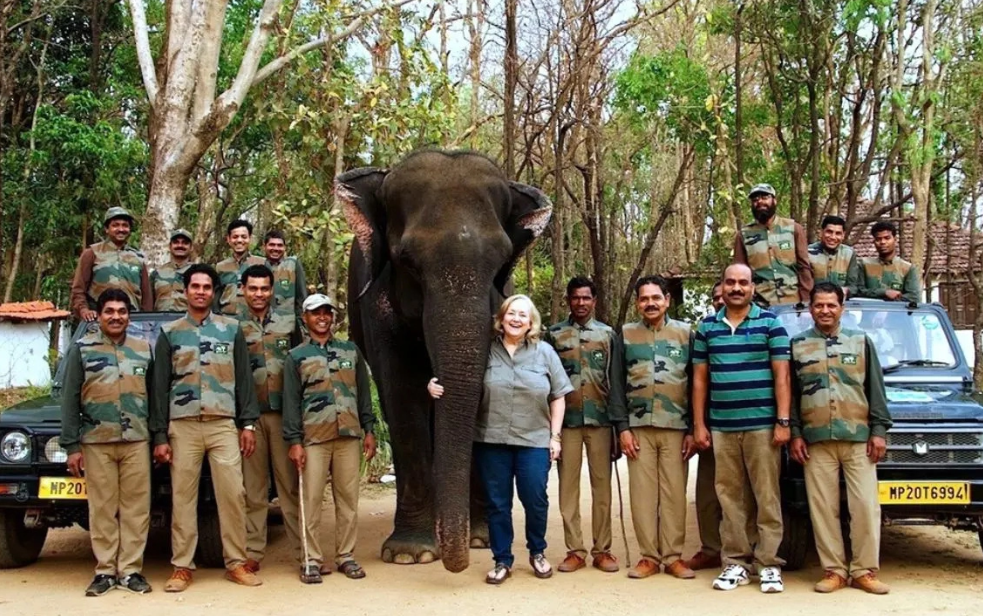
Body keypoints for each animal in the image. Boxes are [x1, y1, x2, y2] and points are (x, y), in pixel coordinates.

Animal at [335, 150, 552, 573]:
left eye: (501, 262)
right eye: (407, 261)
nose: (460, 562)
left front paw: (479, 539)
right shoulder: (377, 306)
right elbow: (401, 393)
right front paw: (410, 554)